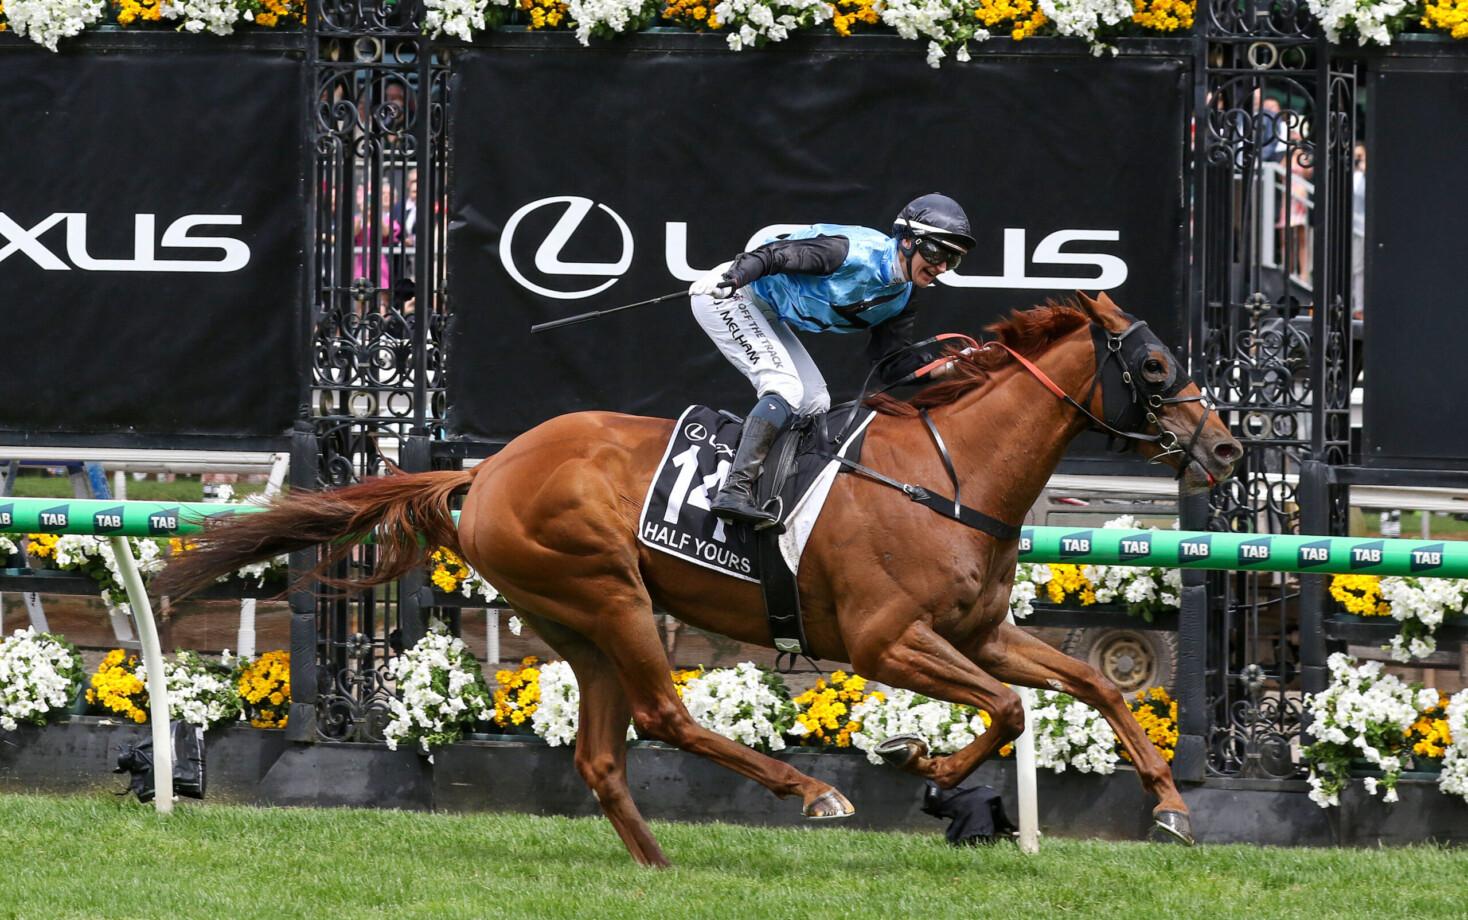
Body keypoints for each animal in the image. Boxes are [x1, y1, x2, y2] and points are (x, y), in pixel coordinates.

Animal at [154, 291, 1240, 866]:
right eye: (1152, 364)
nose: (1227, 448)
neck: (947, 475)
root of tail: (484, 472)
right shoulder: (885, 639)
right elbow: (1011, 709)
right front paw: (926, 772)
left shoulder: (975, 630)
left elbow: (1092, 683)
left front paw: (1172, 805)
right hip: (608, 593)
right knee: (665, 716)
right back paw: (812, 790)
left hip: (579, 621)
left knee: (602, 751)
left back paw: (656, 859)